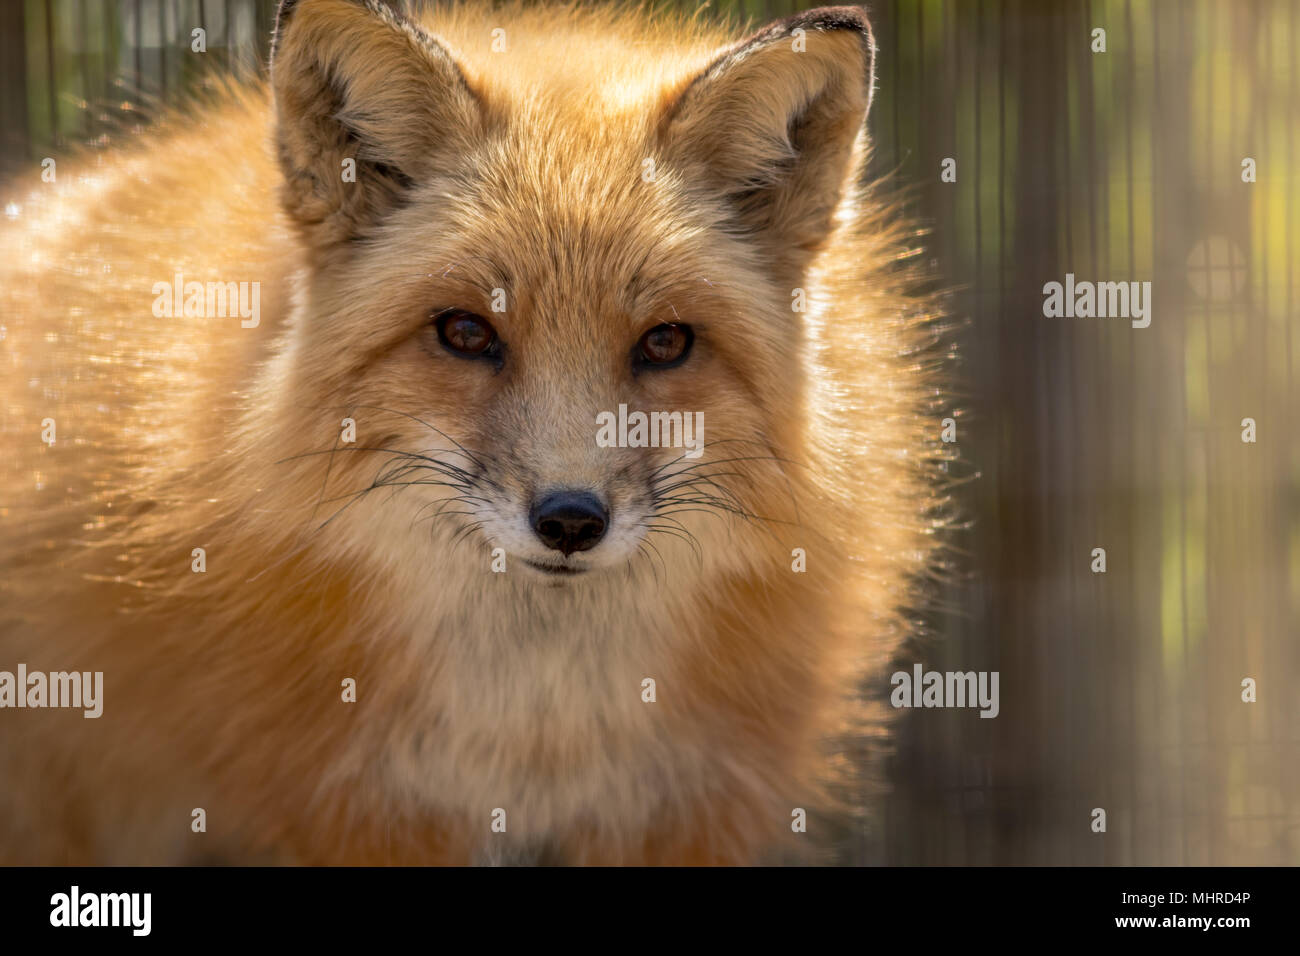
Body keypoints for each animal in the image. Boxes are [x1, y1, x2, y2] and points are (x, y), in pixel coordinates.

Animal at [0, 0, 946, 864]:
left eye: (666, 343)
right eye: (465, 332)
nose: (570, 521)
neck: (535, 734)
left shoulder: (678, 808)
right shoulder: (361, 807)